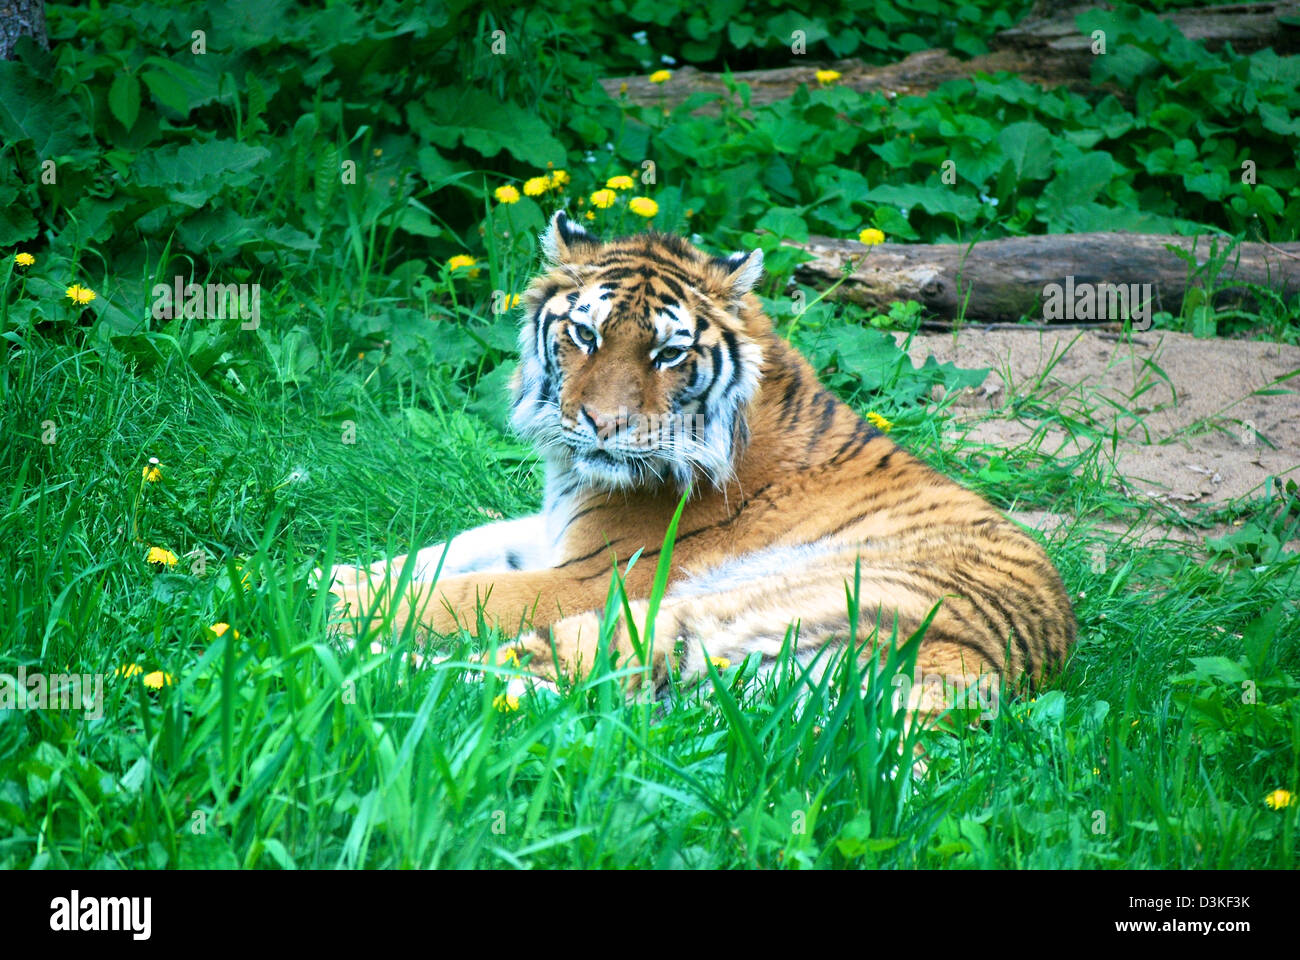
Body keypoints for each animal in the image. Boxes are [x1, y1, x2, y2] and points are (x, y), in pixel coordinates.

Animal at [327, 210, 1076, 712]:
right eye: (584, 334)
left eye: (668, 353)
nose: (603, 424)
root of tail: (953, 683)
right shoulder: (550, 534)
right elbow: (447, 550)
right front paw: (332, 571)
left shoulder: (593, 576)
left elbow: (453, 594)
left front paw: (327, 596)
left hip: (670, 611)